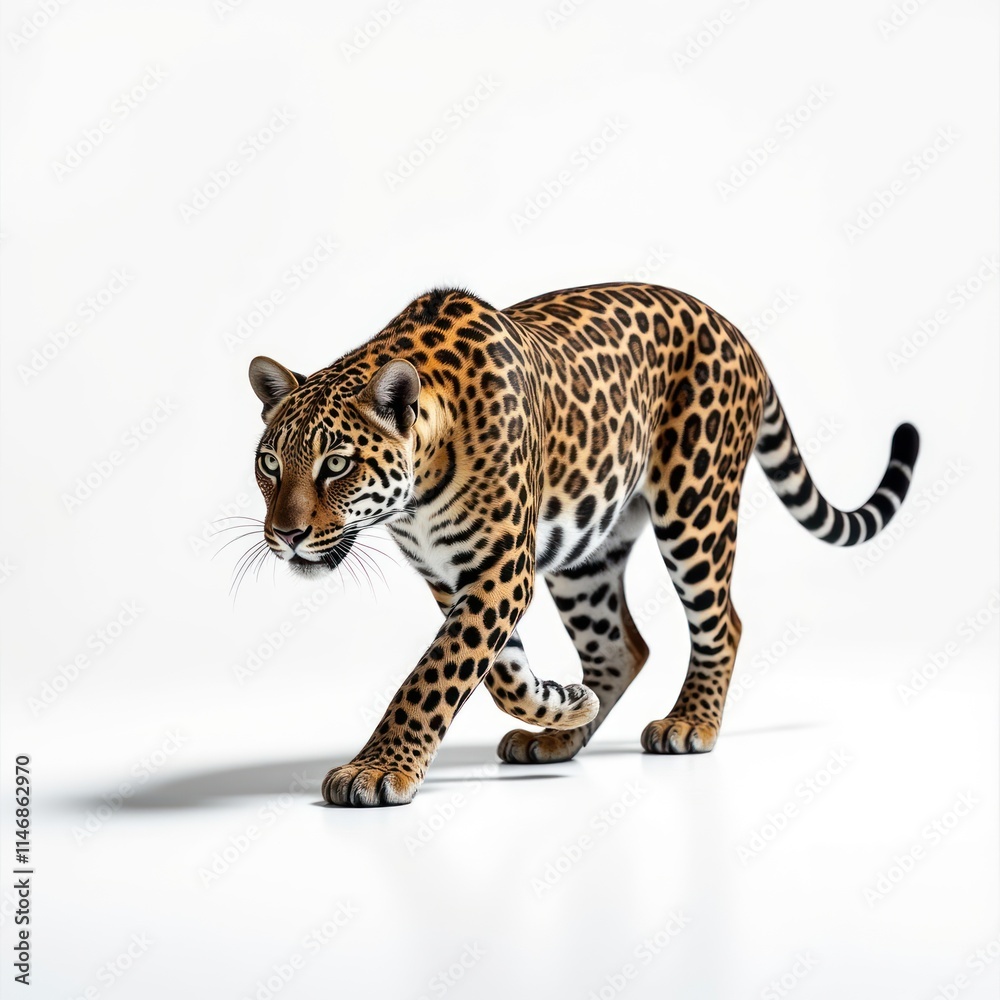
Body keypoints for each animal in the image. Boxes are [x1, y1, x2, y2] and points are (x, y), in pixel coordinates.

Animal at [245, 281, 919, 807]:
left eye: (336, 464)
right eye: (270, 464)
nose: (286, 535)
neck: (418, 491)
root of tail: (732, 329)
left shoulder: (500, 569)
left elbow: (435, 674)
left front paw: (377, 769)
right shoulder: (453, 576)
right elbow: (500, 675)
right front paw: (566, 703)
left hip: (695, 509)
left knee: (723, 622)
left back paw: (690, 723)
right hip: (585, 554)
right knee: (622, 647)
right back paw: (563, 735)